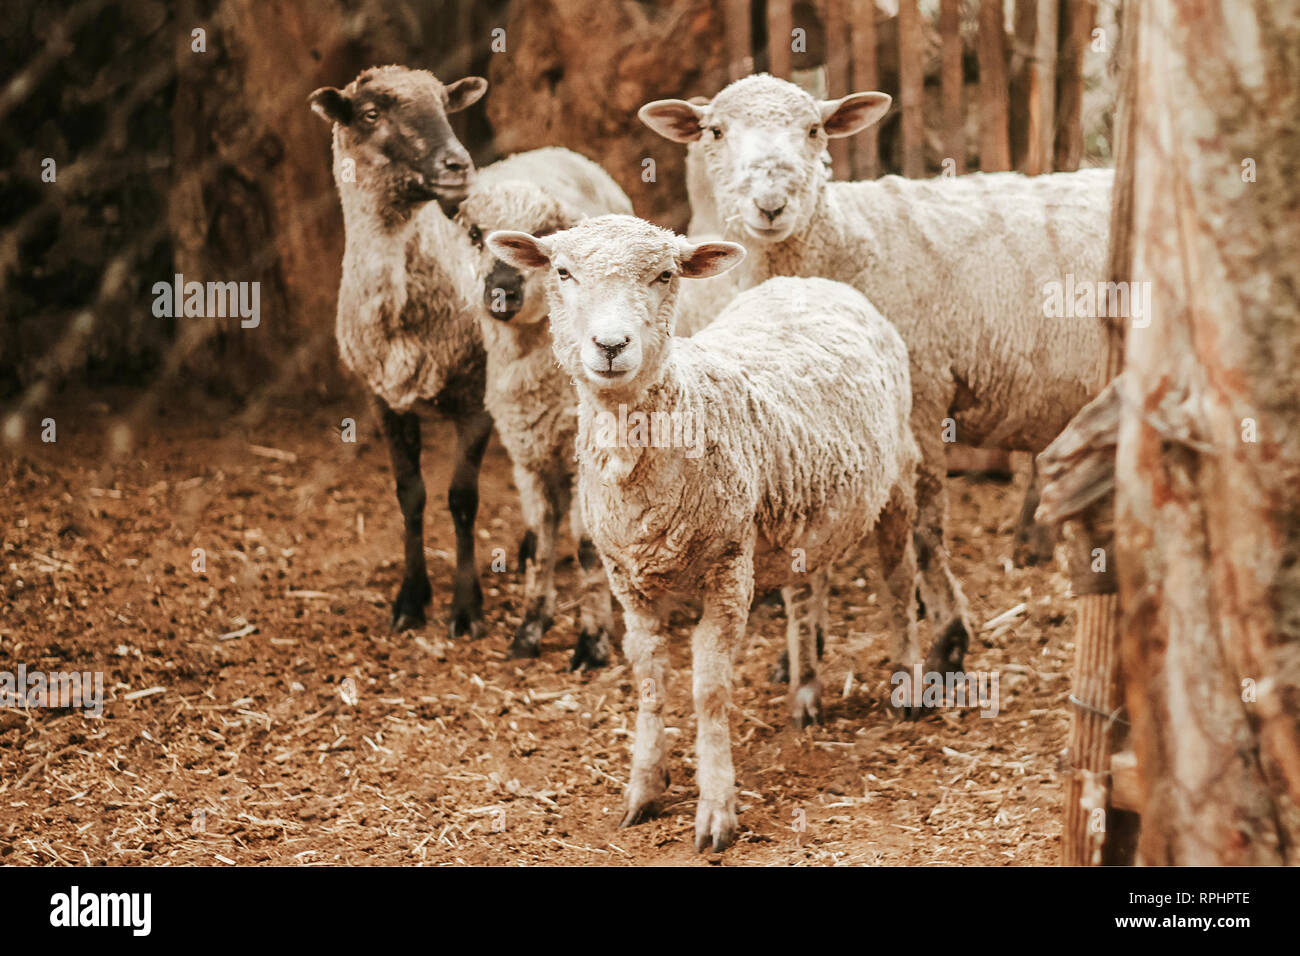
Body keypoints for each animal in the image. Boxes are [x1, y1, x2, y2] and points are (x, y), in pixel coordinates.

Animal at [454, 149, 633, 668]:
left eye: (546, 233)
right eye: (474, 233)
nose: (502, 290)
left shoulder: (582, 466)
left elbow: (588, 549)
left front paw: (592, 642)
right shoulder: (527, 460)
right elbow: (540, 547)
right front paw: (529, 629)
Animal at [487, 214, 921, 852]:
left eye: (665, 275)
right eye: (562, 272)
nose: (611, 346)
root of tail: (812, 282)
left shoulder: (727, 570)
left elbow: (709, 690)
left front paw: (717, 809)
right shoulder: (628, 581)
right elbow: (648, 678)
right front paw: (644, 789)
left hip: (899, 479)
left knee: (898, 582)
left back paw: (911, 688)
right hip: (802, 506)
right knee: (804, 595)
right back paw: (806, 695)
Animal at [640, 73, 1113, 676]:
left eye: (814, 130)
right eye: (715, 132)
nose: (771, 205)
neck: (843, 245)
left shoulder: (924, 400)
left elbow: (927, 531)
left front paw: (947, 640)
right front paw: (803, 651)